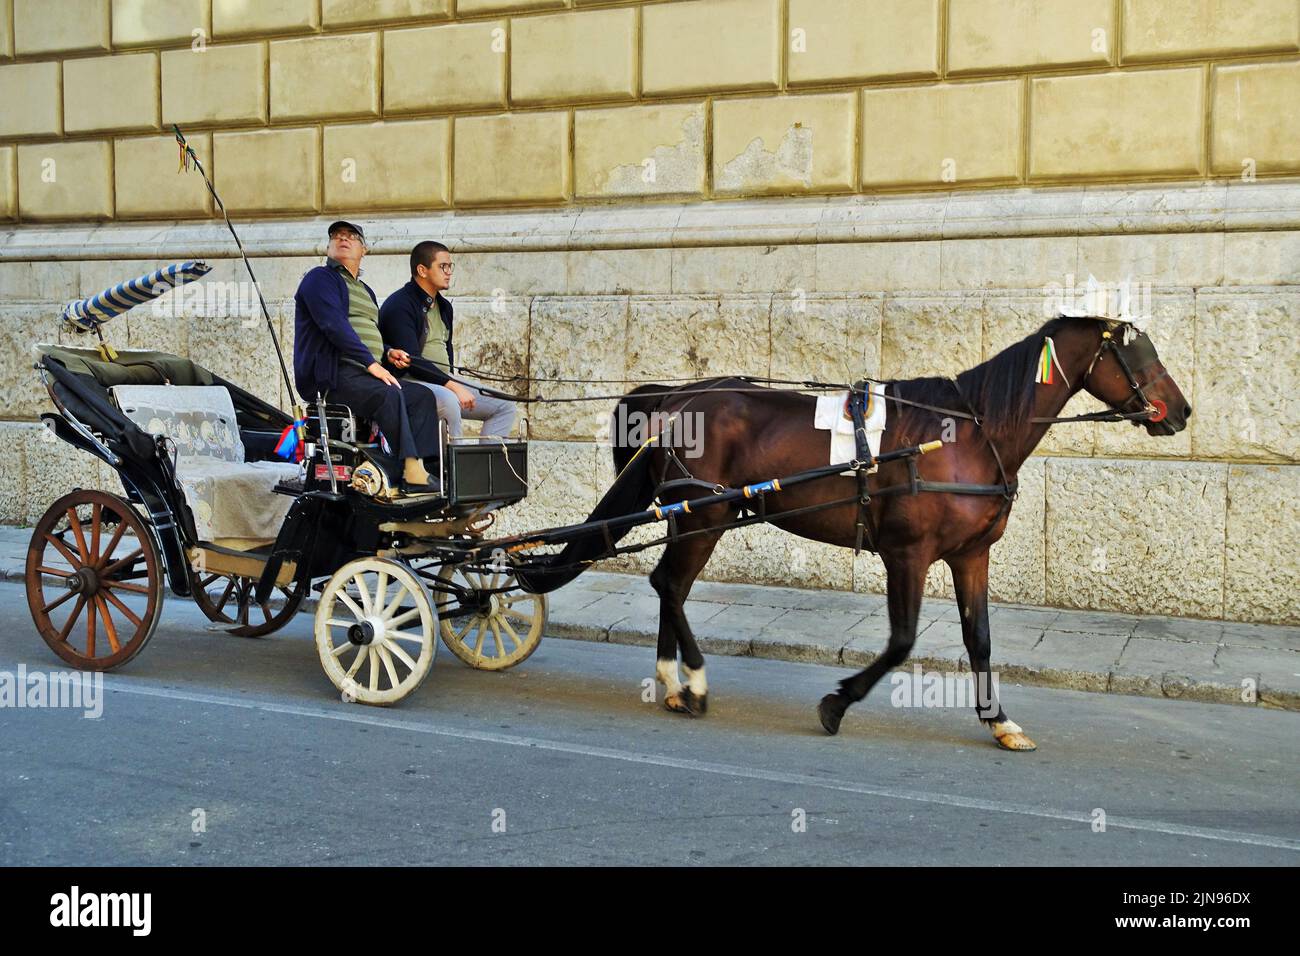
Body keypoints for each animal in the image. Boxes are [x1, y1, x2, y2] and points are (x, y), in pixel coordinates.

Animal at [516, 317, 1191, 751]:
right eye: (1139, 356)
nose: (1181, 411)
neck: (969, 434)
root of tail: (675, 398)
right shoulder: (908, 556)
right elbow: (901, 641)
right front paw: (838, 701)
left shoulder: (970, 556)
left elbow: (979, 640)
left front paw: (999, 719)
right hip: (703, 517)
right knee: (668, 584)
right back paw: (696, 682)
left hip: (694, 516)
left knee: (669, 587)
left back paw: (674, 684)